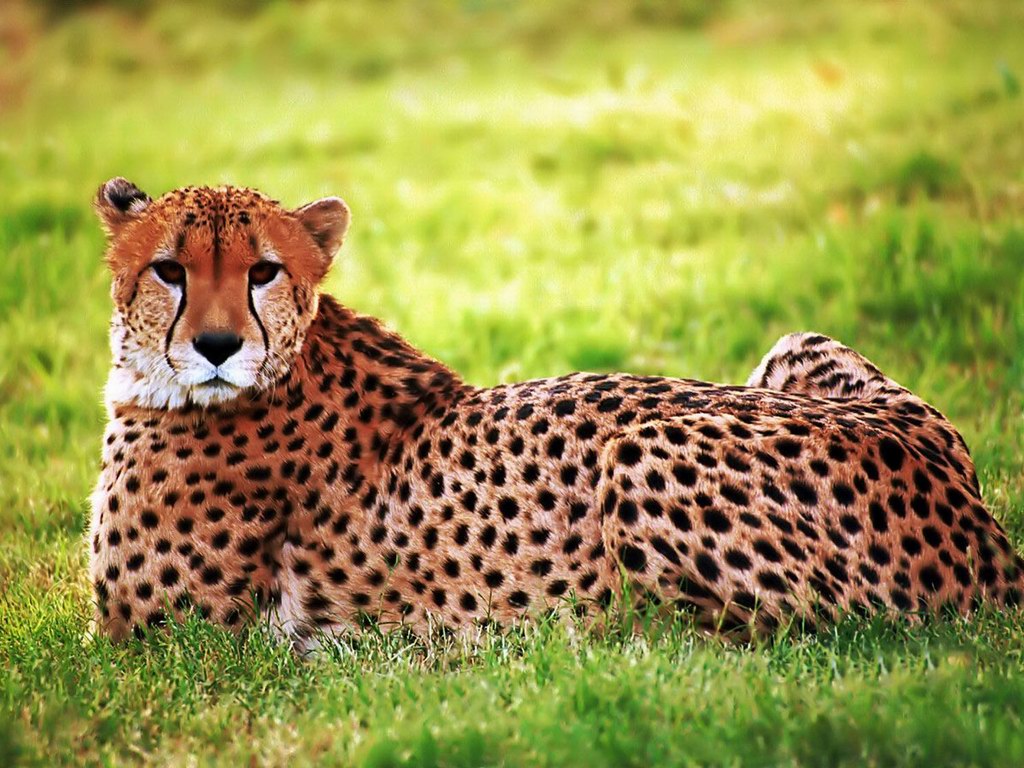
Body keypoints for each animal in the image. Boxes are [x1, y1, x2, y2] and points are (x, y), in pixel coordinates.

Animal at [89, 177, 1024, 649]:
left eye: (264, 270)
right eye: (169, 268)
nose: (216, 346)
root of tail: (982, 531)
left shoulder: (160, 644)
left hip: (643, 448)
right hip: (796, 347)